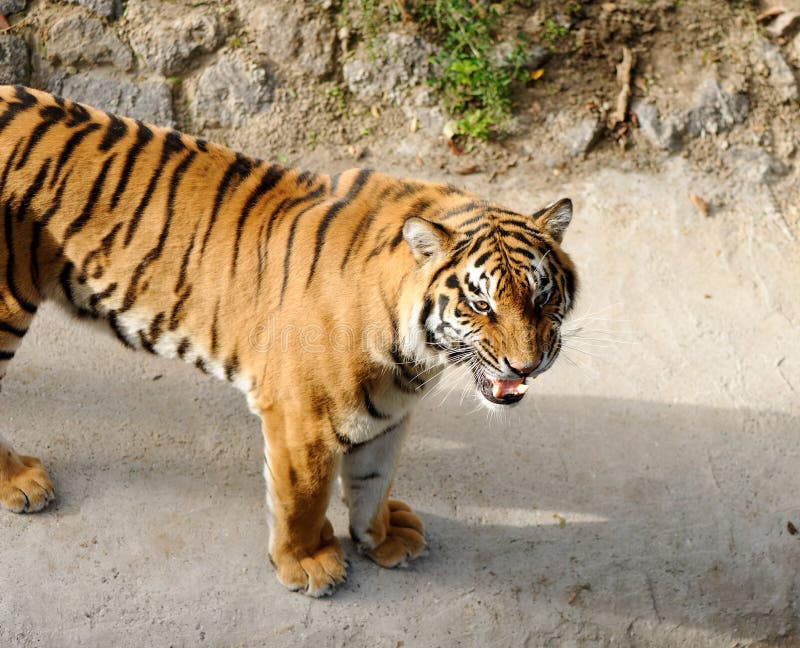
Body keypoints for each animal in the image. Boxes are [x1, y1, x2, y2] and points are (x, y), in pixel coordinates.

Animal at [0, 85, 577, 596]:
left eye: (543, 296)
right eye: (481, 305)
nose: (526, 366)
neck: (413, 355)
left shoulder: (390, 410)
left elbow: (375, 479)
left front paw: (382, 538)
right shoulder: (303, 418)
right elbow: (303, 497)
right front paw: (308, 564)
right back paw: (22, 483)